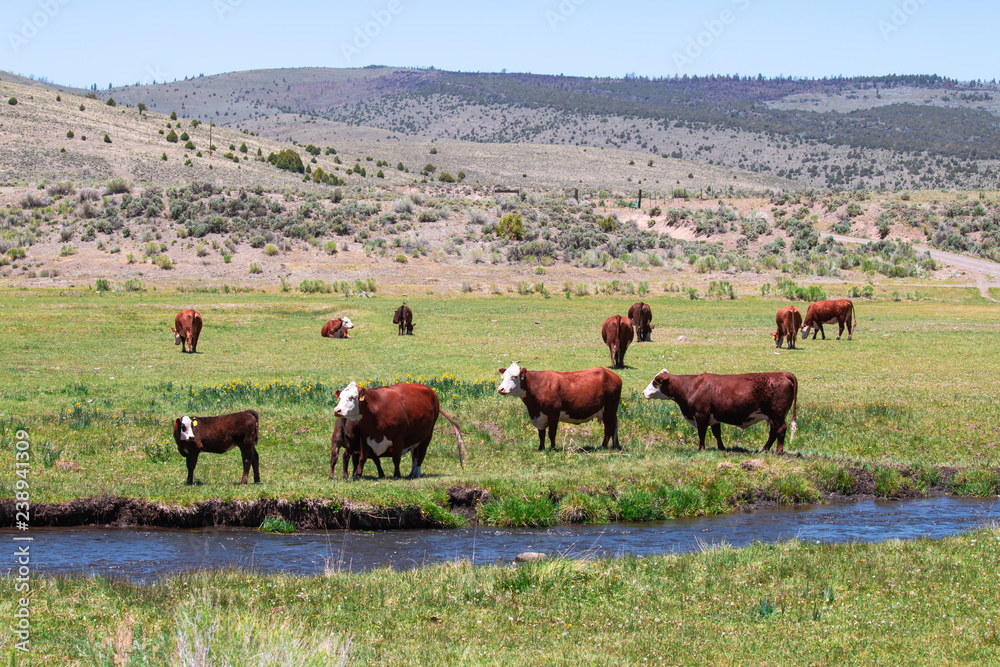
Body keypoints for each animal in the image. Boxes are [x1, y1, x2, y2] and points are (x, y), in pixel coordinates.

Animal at [333, 382, 466, 480]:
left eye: (352, 397)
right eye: (340, 397)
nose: (337, 410)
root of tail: (431, 392)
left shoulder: (399, 438)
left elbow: (396, 458)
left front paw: (397, 475)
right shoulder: (366, 437)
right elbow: (362, 457)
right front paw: (357, 475)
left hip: (427, 435)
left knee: (421, 455)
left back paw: (416, 473)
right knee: (415, 455)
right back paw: (412, 473)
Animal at [642, 370, 798, 455]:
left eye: (655, 383)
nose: (643, 393)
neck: (692, 386)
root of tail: (783, 374)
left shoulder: (701, 415)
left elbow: (702, 433)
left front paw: (701, 448)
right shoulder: (714, 418)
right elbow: (717, 433)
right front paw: (721, 448)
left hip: (777, 414)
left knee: (781, 430)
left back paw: (778, 451)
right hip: (773, 417)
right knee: (773, 432)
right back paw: (764, 449)